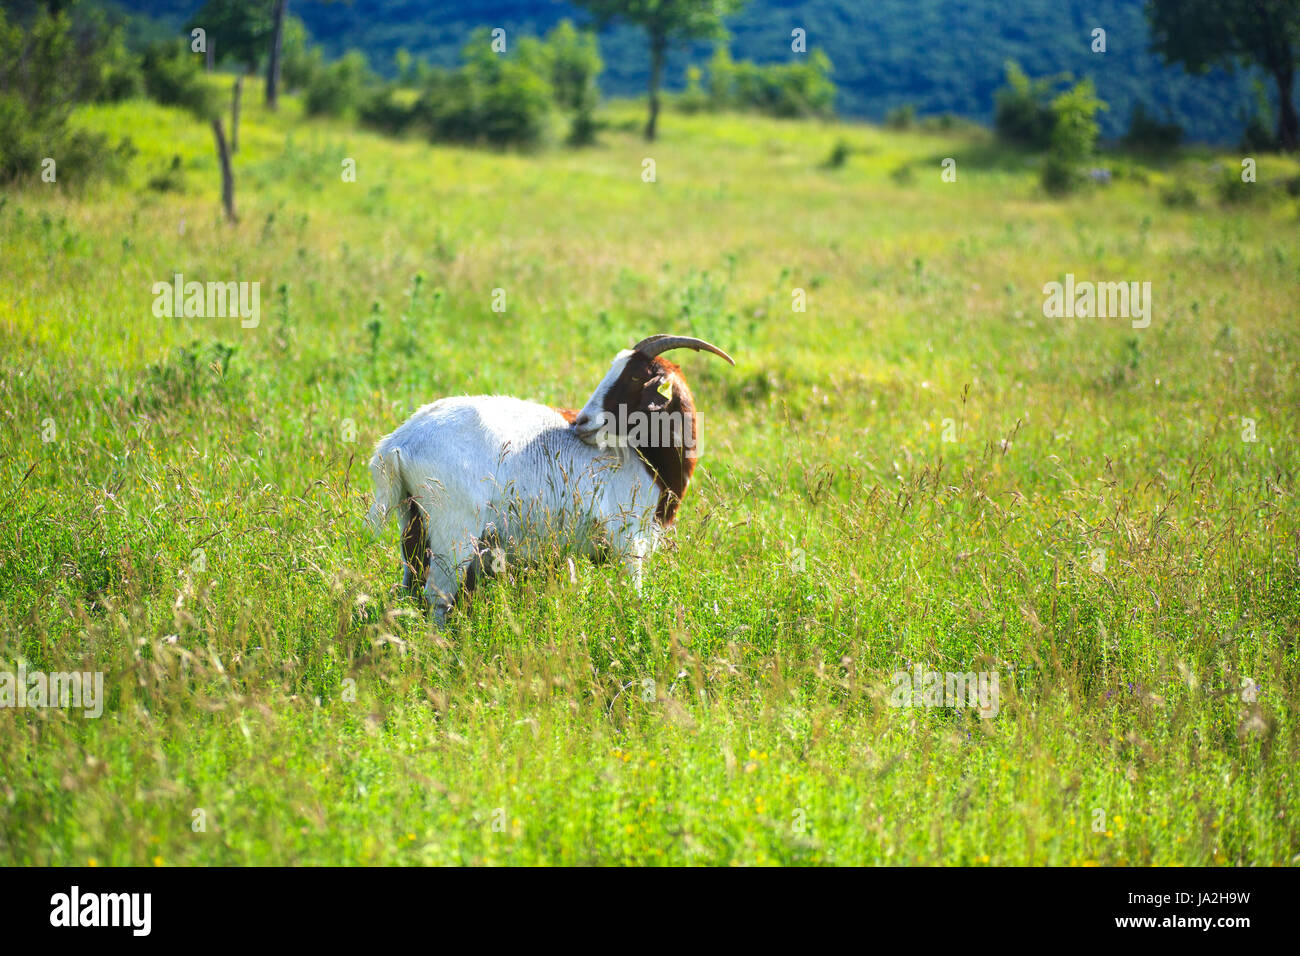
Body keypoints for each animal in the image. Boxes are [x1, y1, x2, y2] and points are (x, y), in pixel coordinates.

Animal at [366, 334, 734, 625]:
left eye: (633, 378)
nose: (581, 422)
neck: (643, 456)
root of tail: (399, 442)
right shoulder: (628, 542)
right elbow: (635, 595)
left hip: (413, 520)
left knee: (410, 586)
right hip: (453, 529)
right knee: (437, 596)